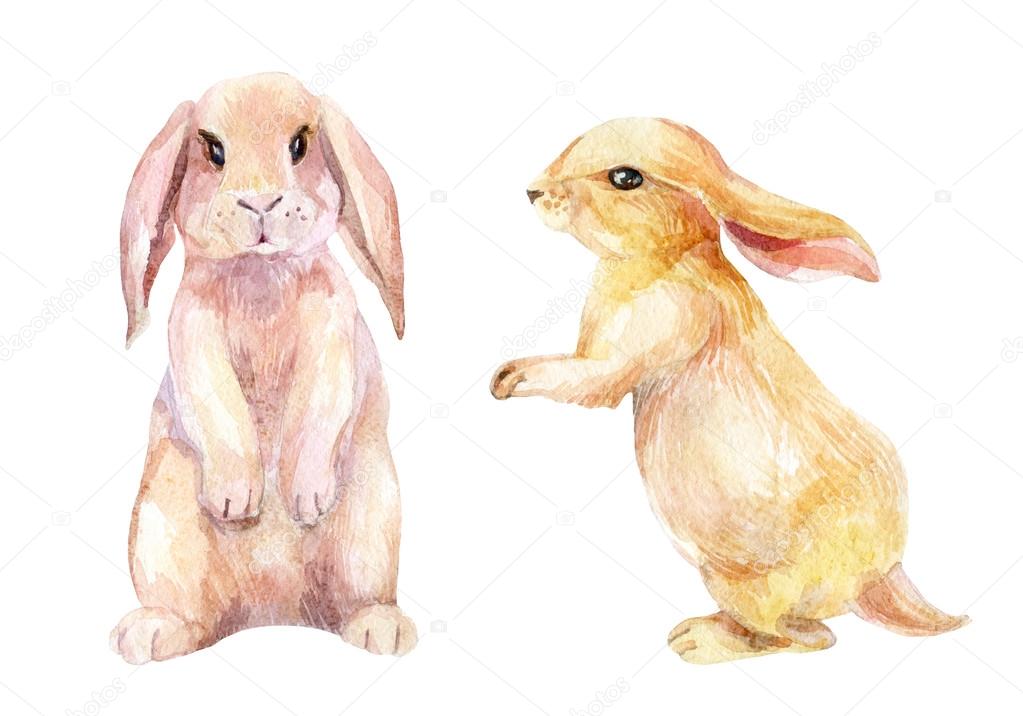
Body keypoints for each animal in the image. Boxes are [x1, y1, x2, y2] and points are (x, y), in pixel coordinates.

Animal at [111, 73, 416, 664]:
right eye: (212, 149)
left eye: (300, 144)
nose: (260, 201)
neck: (261, 278)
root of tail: (272, 611)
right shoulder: (192, 333)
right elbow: (218, 406)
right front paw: (236, 501)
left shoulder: (333, 329)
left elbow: (319, 405)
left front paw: (305, 498)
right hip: (160, 528)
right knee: (190, 615)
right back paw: (150, 635)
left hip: (370, 530)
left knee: (360, 599)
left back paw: (382, 631)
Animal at [491, 118, 967, 663]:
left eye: (626, 178)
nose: (533, 191)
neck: (669, 258)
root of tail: (879, 577)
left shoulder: (643, 340)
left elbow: (584, 380)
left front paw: (509, 379)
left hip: (740, 585)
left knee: (808, 639)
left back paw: (696, 641)